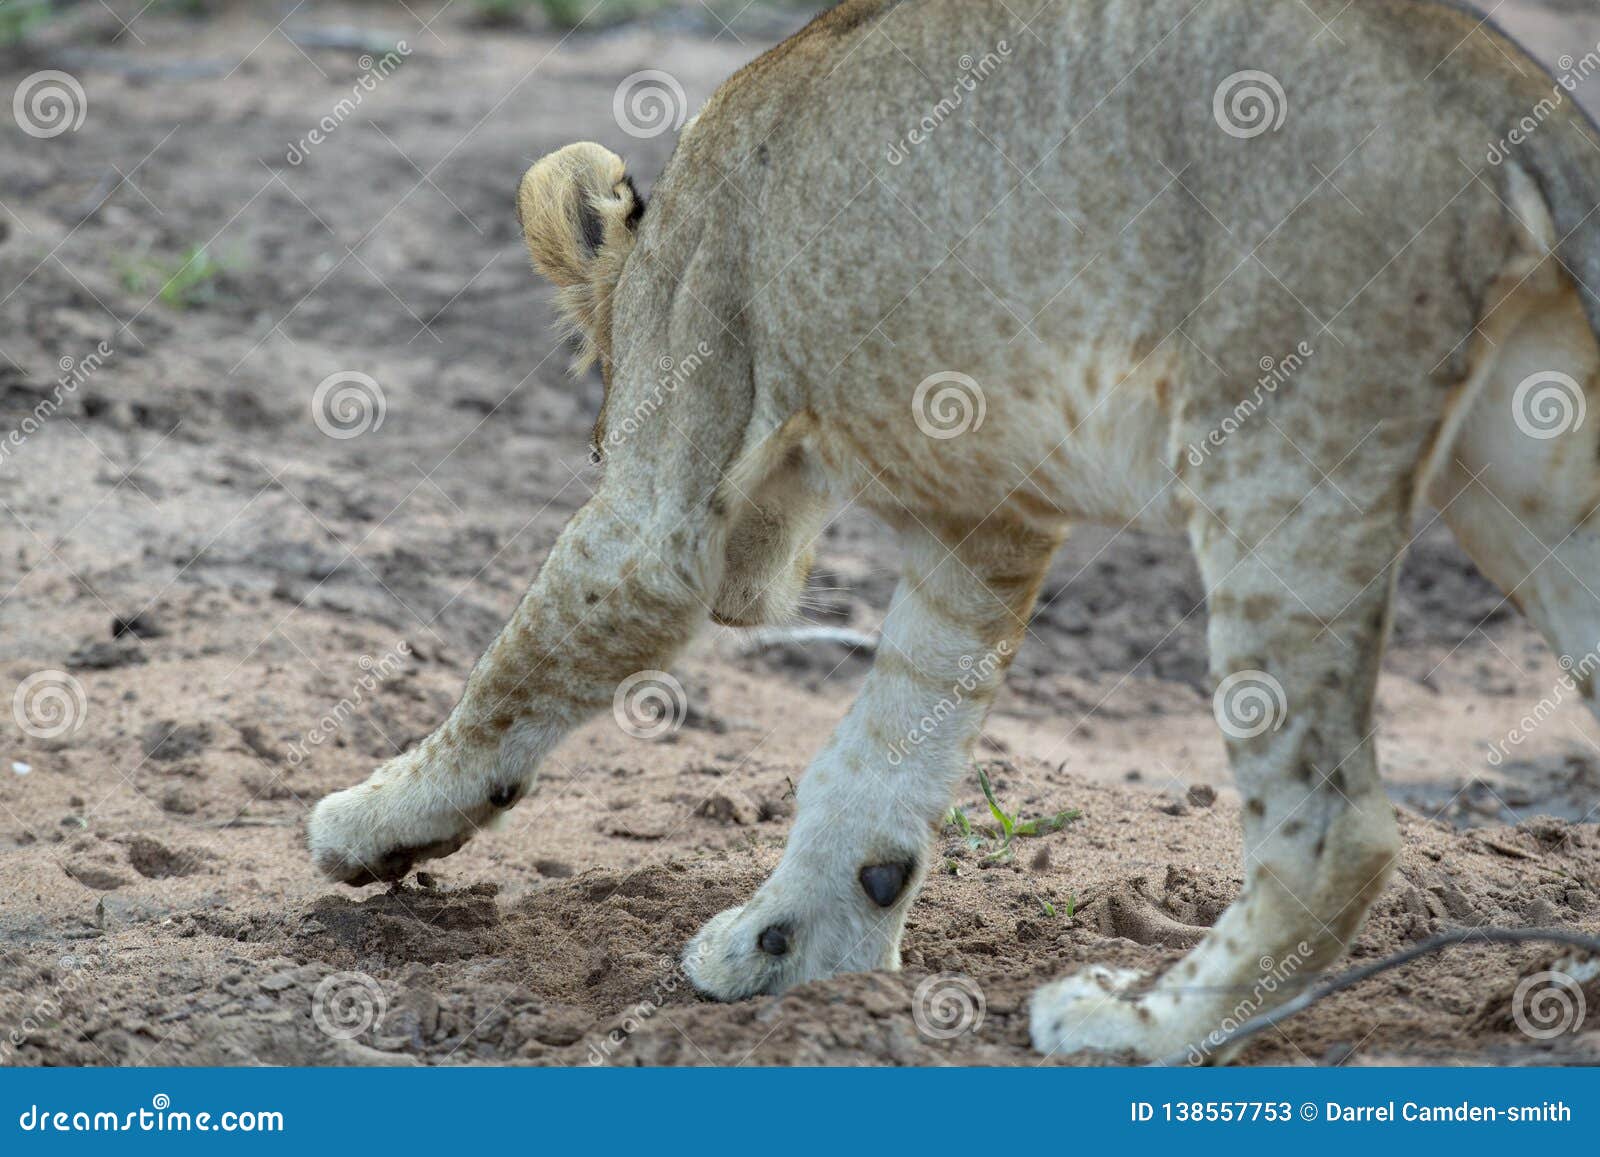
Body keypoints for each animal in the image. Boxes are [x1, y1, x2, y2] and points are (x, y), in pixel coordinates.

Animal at [308, 0, 1600, 1061]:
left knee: (1336, 828)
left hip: (1277, 446)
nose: (745, 599)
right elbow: (889, 739)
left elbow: (512, 669)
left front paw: (364, 824)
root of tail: (1491, 80)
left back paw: (1136, 1023)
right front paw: (798, 945)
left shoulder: (661, 491)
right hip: (1529, 463)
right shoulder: (988, 520)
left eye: (588, 443)